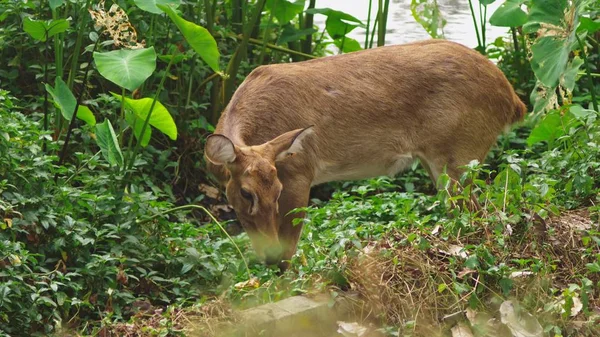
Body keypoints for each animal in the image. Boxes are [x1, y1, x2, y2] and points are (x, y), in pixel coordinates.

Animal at [203, 39, 524, 270]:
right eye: (246, 193)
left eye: (277, 190)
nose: (267, 255)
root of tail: (512, 99)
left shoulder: (300, 173)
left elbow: (289, 252)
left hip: (460, 155)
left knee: (478, 216)